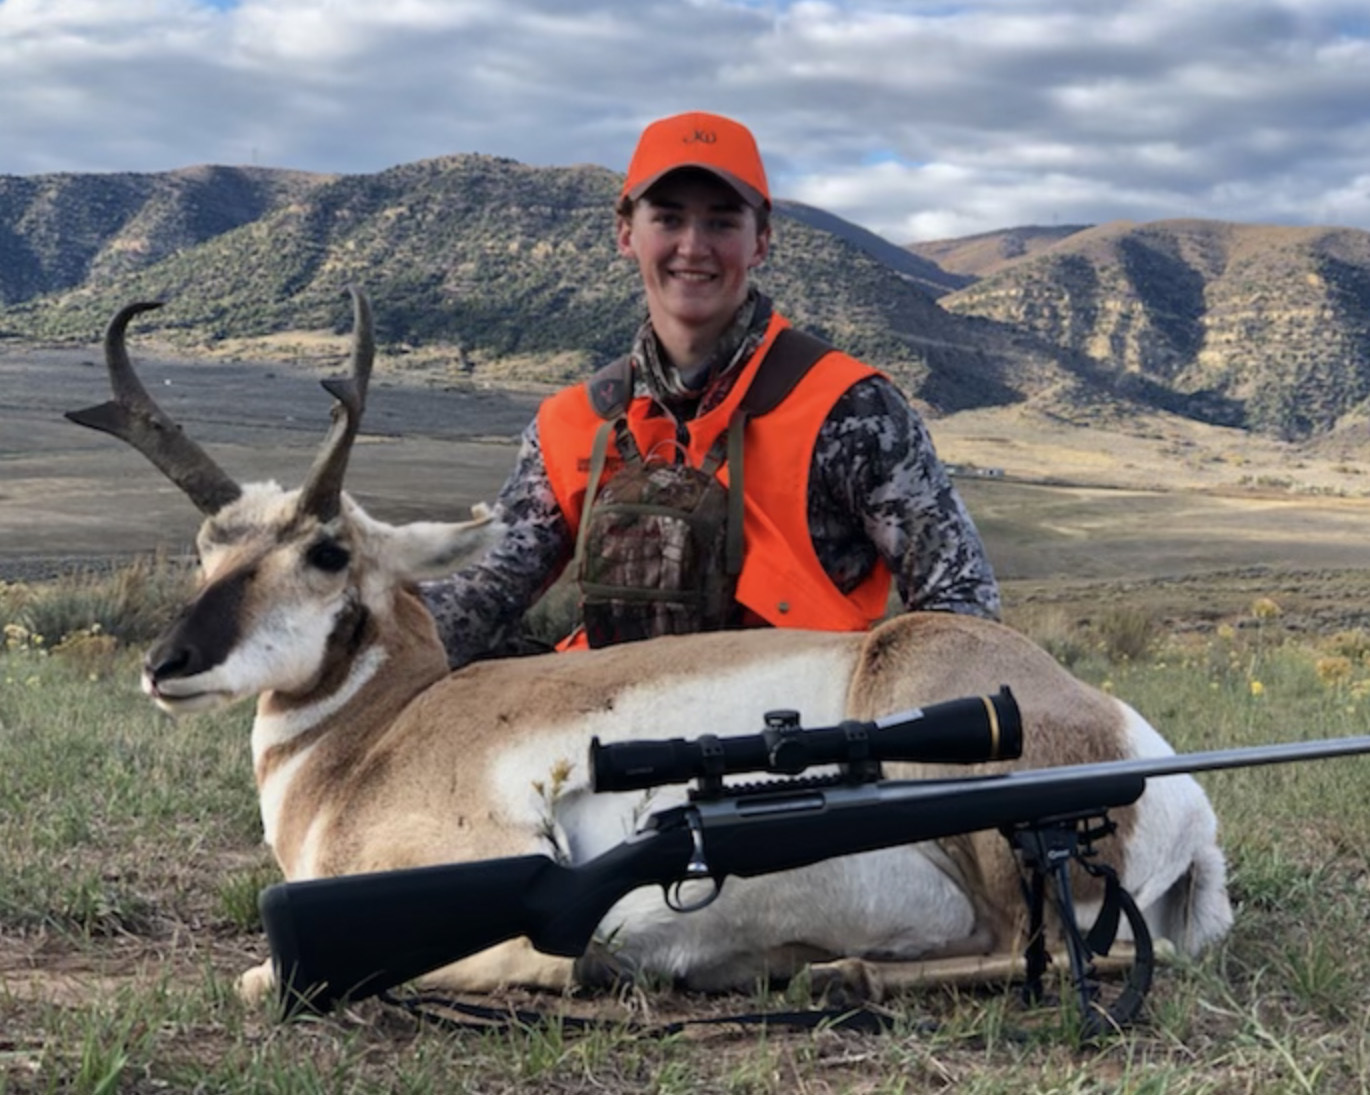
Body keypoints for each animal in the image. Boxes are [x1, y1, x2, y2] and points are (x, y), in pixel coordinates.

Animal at [68, 288, 1233, 1007]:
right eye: (208, 547)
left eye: (324, 549)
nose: (166, 665)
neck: (379, 736)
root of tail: (1157, 764)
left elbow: (272, 973)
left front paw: (584, 969)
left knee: (1039, 950)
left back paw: (829, 975)